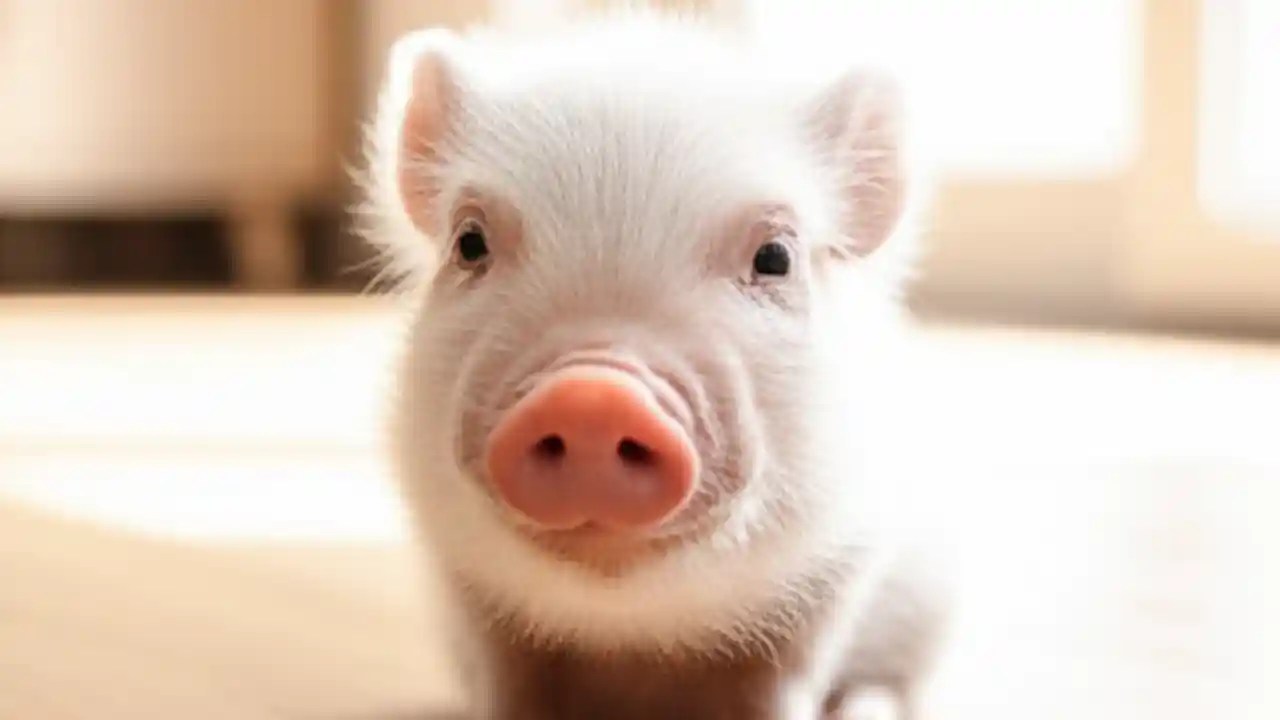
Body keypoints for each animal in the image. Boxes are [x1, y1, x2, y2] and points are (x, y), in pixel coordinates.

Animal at [364, 11, 948, 720]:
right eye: (470, 242)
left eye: (775, 257)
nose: (592, 396)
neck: (636, 639)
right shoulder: (469, 589)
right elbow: (512, 680)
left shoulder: (841, 568)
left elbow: (784, 681)